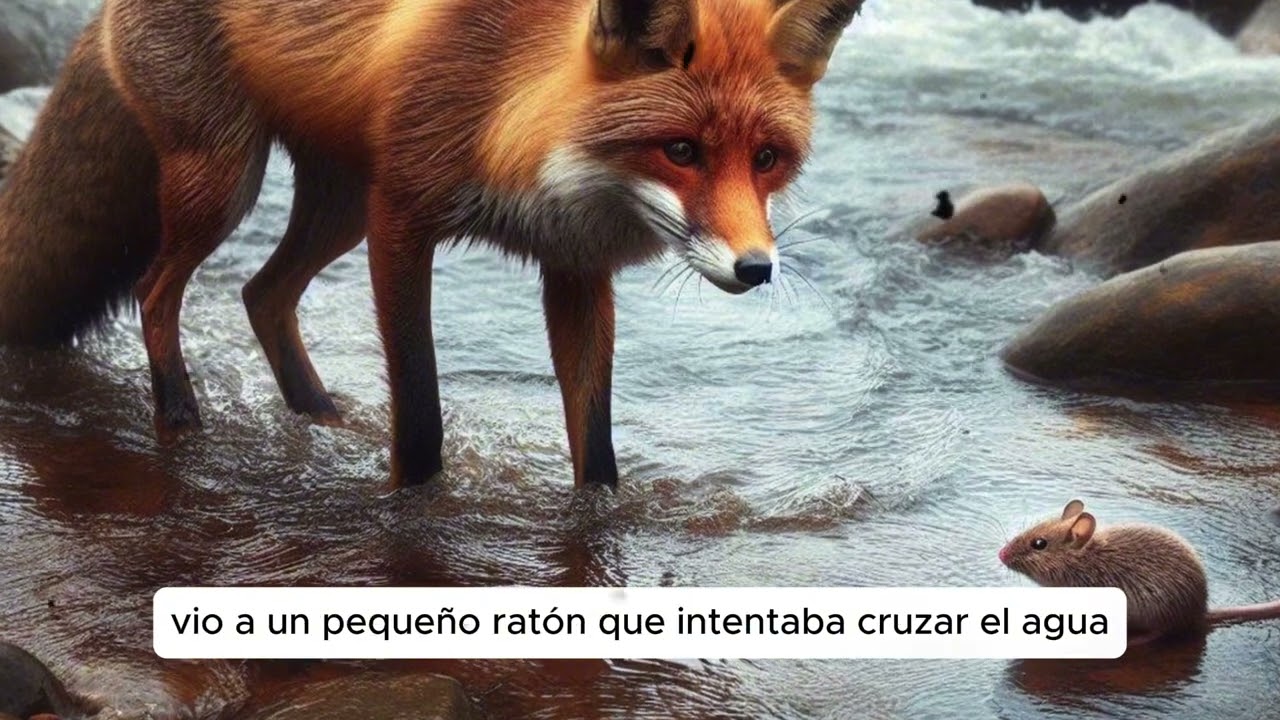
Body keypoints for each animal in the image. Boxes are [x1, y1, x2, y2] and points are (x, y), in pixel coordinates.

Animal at [0, 0, 862, 489]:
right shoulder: (400, 220)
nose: (757, 269)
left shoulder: (576, 268)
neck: (506, 111)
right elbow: (419, 410)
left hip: (336, 205)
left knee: (261, 292)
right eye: (680, 150)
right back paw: (179, 415)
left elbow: (596, 447)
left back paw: (317, 413)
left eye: (767, 159)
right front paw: (414, 506)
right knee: (155, 290)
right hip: (228, 181)